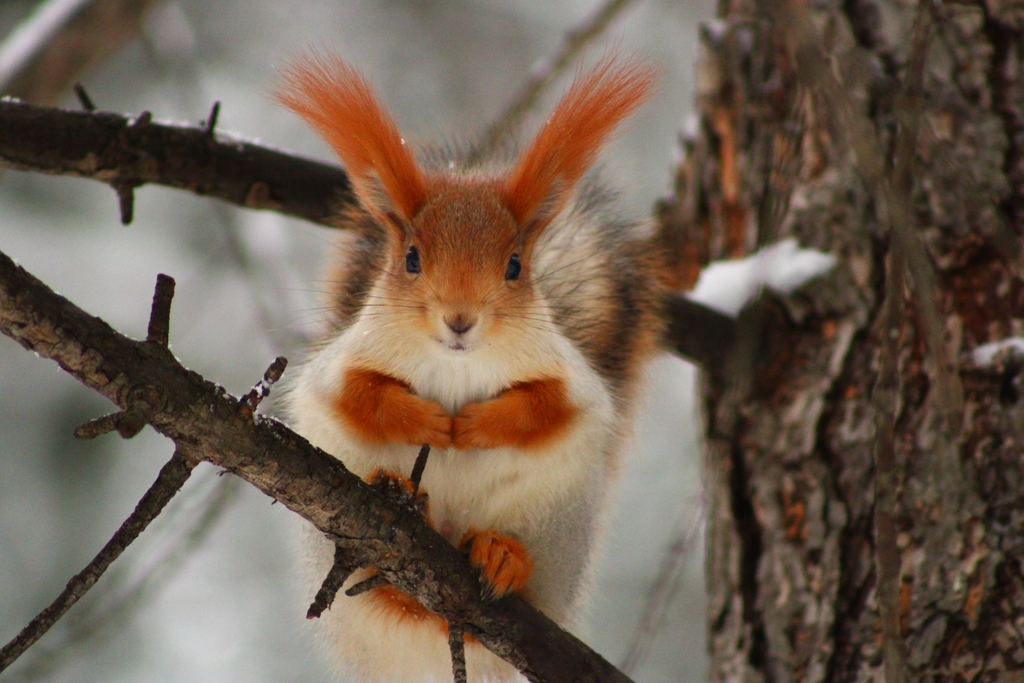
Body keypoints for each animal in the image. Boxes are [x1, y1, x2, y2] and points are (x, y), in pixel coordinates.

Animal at [277, 51, 666, 683]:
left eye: (514, 265)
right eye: (411, 258)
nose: (460, 320)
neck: (456, 367)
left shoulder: (570, 380)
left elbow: (546, 408)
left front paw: (475, 426)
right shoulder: (340, 366)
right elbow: (360, 395)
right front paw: (431, 421)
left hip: (557, 523)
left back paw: (502, 556)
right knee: (393, 596)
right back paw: (407, 506)